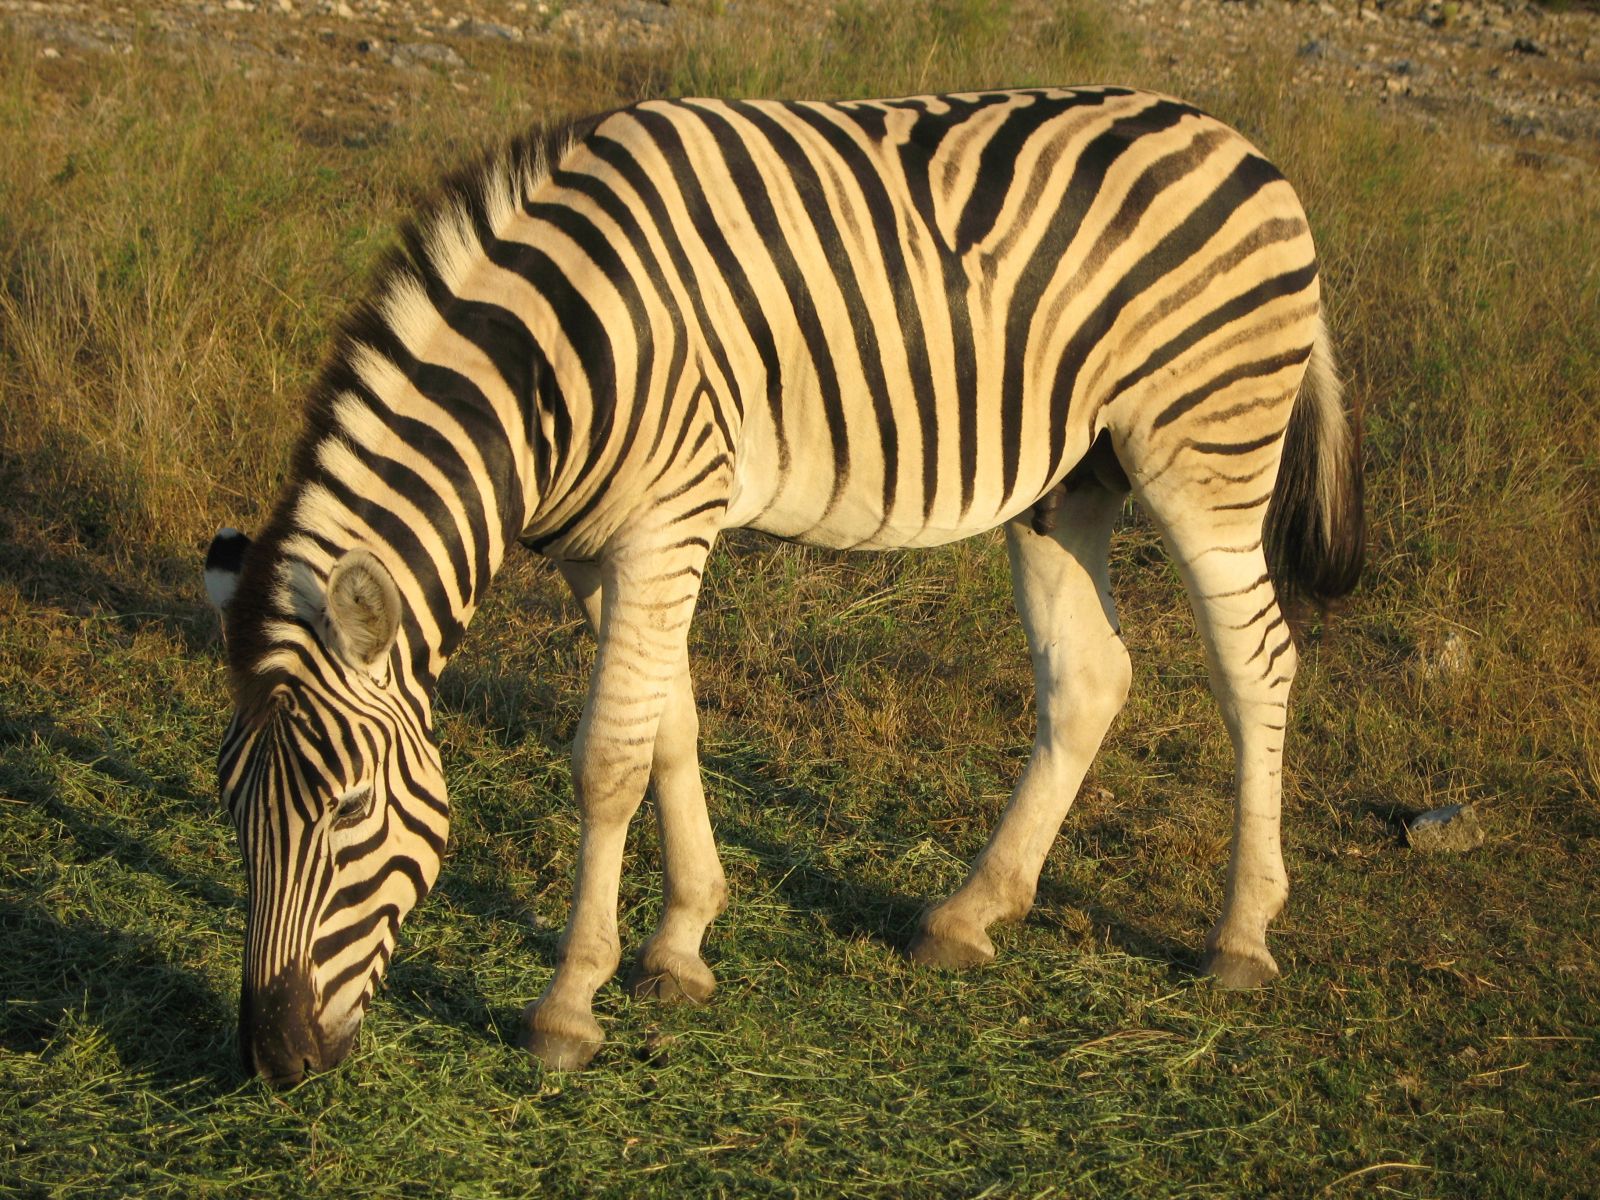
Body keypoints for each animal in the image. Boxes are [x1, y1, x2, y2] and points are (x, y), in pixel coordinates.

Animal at [204, 87, 1362, 1082]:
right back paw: (971, 912)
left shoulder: (665, 519)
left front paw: (569, 1005)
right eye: (231, 808)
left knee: (1257, 667)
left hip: (1204, 455)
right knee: (1088, 678)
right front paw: (680, 943)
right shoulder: (604, 546)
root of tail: (1241, 145)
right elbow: (668, 729)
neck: (550, 364)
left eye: (351, 810)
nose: (276, 1057)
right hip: (1068, 480)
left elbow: (608, 760)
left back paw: (1241, 937)